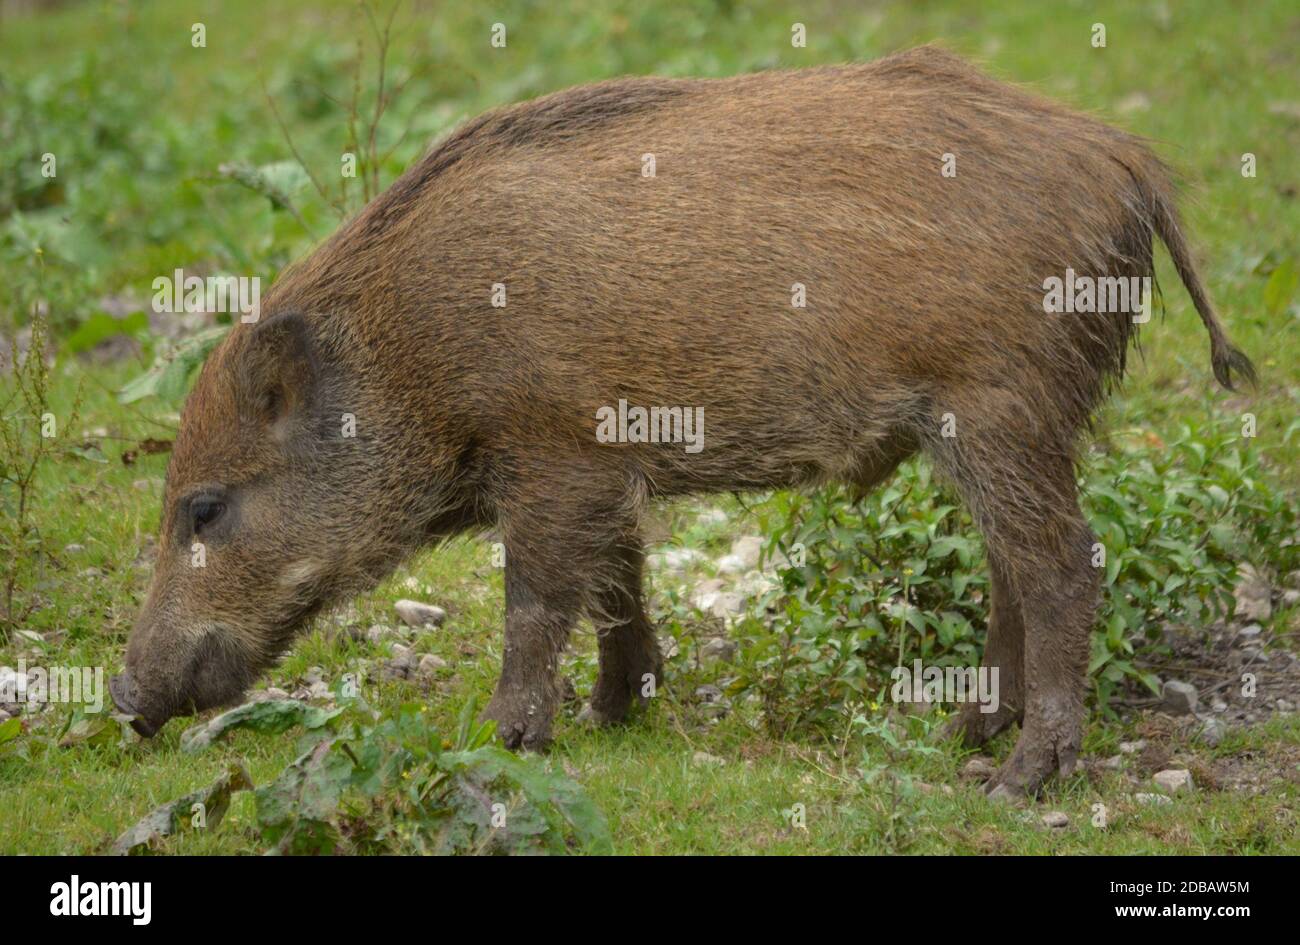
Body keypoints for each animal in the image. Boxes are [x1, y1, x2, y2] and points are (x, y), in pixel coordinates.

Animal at [111, 46, 1253, 797]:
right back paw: (969, 729)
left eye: (204, 508)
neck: (409, 354)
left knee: (1062, 566)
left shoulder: (554, 451)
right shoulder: (604, 462)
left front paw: (506, 740)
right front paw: (615, 713)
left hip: (1001, 403)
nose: (123, 697)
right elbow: (620, 583)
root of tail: (1129, 166)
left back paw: (1019, 778)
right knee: (1013, 565)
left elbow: (537, 599)